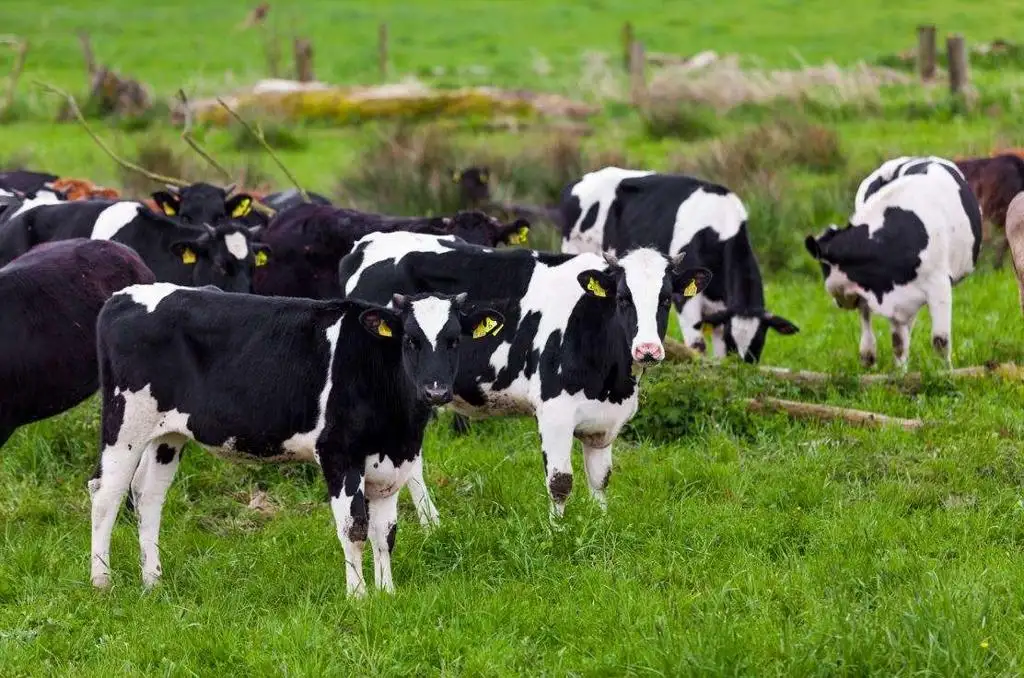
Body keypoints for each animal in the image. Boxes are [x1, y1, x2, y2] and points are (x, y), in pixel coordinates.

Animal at [88, 284, 504, 596]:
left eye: (453, 340)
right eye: (411, 340)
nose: (435, 391)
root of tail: (122, 296)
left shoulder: (392, 464)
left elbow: (385, 534)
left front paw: (388, 594)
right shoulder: (338, 455)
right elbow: (354, 529)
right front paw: (359, 597)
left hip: (167, 433)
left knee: (148, 495)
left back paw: (153, 581)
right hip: (125, 422)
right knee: (106, 493)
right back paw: (102, 582)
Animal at [339, 232, 712, 523]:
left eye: (666, 299)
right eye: (622, 298)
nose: (648, 349)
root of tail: (367, 243)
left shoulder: (605, 422)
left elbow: (600, 478)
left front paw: (601, 523)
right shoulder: (554, 412)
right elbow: (560, 482)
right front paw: (557, 533)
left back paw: (432, 524)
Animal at [559, 167, 798, 363]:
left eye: (759, 341)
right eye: (733, 341)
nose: (743, 366)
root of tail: (578, 181)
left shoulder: (721, 309)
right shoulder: (685, 299)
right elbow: (697, 346)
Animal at [805, 156, 982, 368]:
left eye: (823, 267)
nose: (839, 302)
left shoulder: (939, 284)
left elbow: (940, 339)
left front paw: (945, 371)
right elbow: (896, 340)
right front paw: (898, 370)